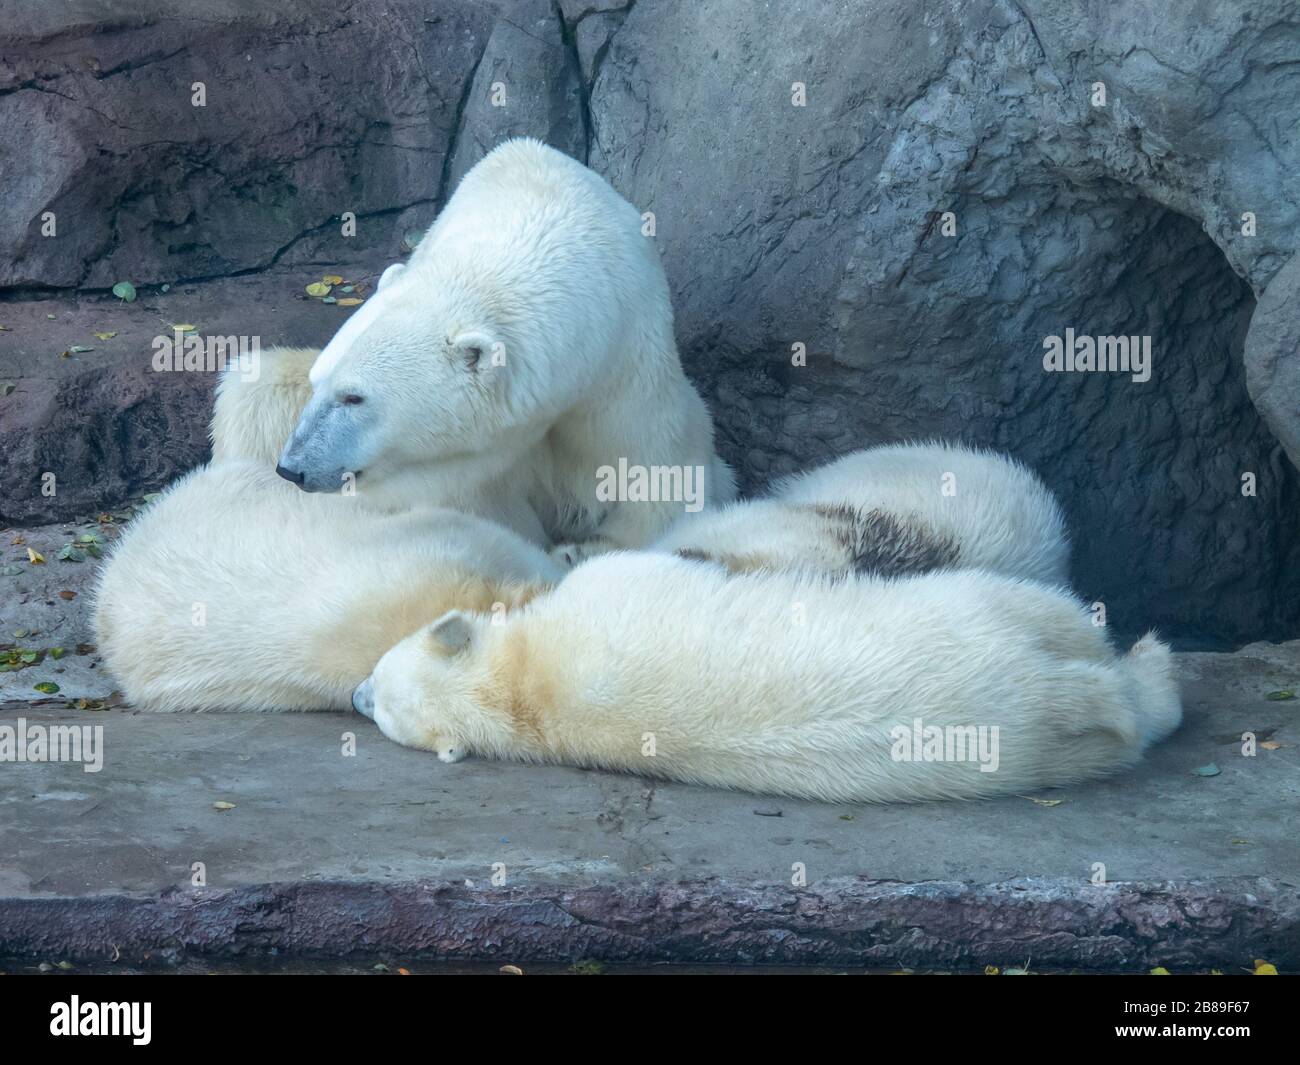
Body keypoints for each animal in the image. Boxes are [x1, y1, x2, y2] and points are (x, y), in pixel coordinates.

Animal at [214, 138, 735, 553]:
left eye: (354, 397)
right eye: (321, 381)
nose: (292, 469)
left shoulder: (624, 364)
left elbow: (656, 464)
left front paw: (591, 546)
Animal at [353, 552, 1182, 803]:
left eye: (379, 681)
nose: (357, 697)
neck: (524, 683)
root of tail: (1043, 698)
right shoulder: (615, 583)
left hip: (1041, 748)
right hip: (981, 618)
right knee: (1079, 644)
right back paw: (1148, 661)